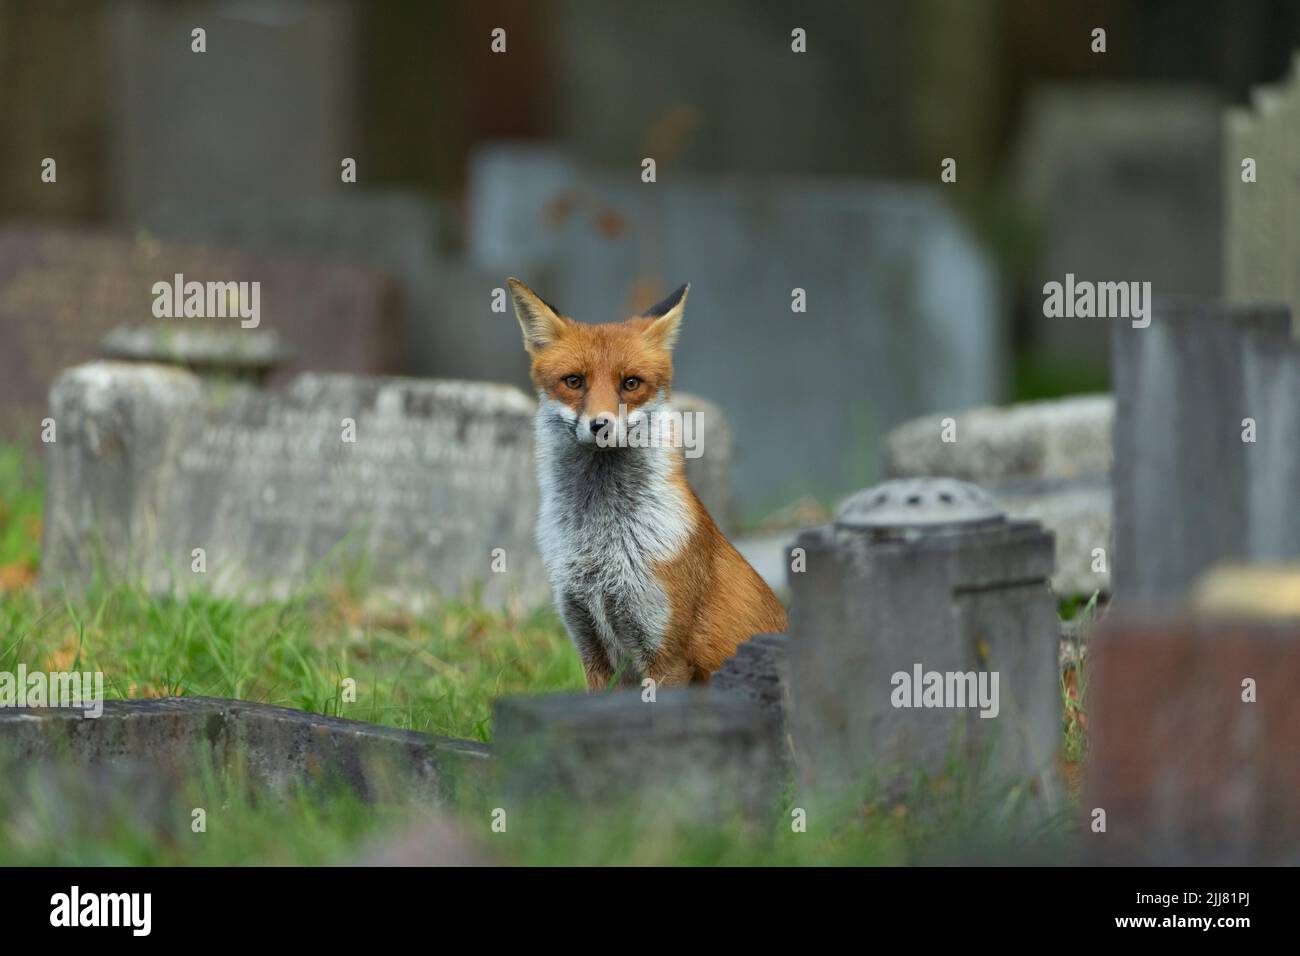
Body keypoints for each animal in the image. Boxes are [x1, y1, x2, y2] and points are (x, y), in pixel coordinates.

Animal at [508, 277, 787, 690]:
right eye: (573, 381)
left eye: (630, 383)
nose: (601, 424)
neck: (600, 545)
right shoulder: (590, 645)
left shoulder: (666, 653)